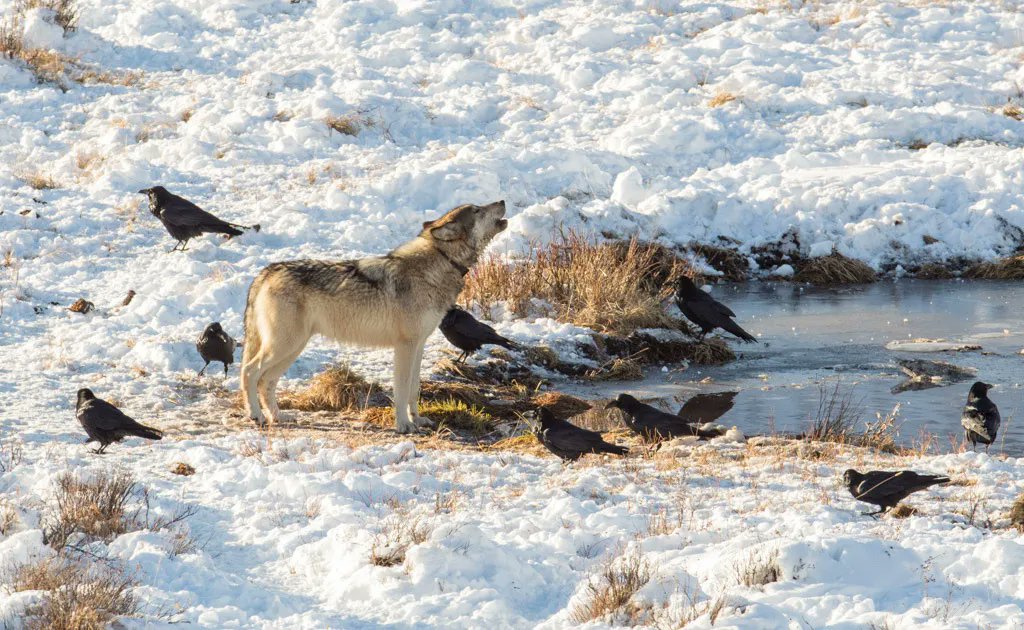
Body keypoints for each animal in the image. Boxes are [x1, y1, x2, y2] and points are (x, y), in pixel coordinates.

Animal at [241, 201, 507, 433]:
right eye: (477, 209)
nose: (503, 201)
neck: (439, 263)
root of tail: (266, 272)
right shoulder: (405, 346)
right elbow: (401, 390)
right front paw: (404, 426)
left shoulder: (419, 345)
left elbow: (414, 388)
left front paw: (418, 420)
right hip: (284, 346)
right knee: (249, 372)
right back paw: (256, 416)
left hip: (292, 349)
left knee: (266, 381)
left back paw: (278, 417)